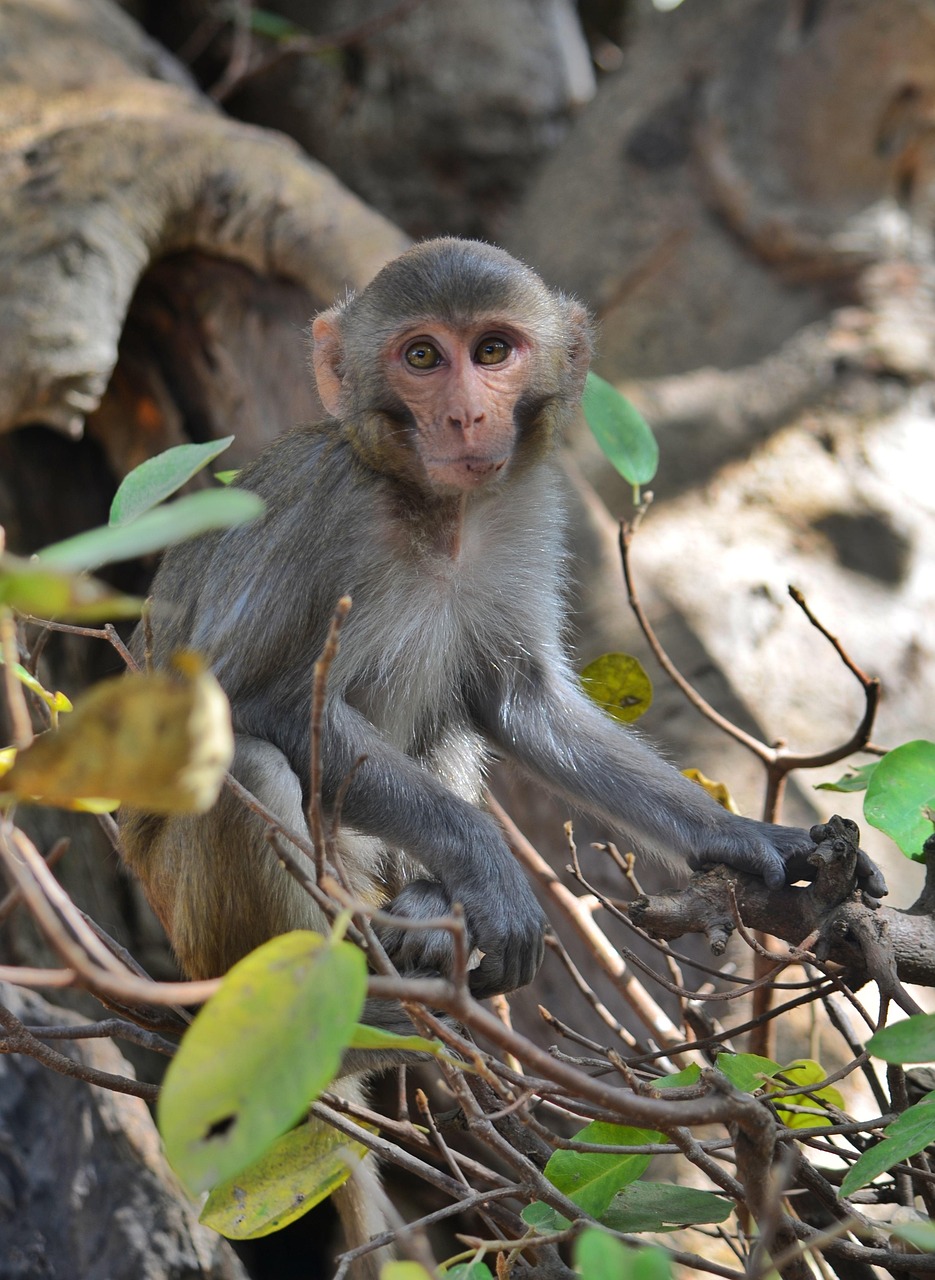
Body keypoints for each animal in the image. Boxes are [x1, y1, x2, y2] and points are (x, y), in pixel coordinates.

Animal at [118, 237, 885, 1270]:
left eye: (491, 350)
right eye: (421, 358)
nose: (463, 413)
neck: (437, 511)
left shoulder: (526, 513)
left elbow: (518, 702)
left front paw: (749, 841)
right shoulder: (324, 513)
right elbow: (252, 700)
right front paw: (488, 864)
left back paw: (417, 910)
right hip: (193, 917)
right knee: (250, 763)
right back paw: (356, 1022)